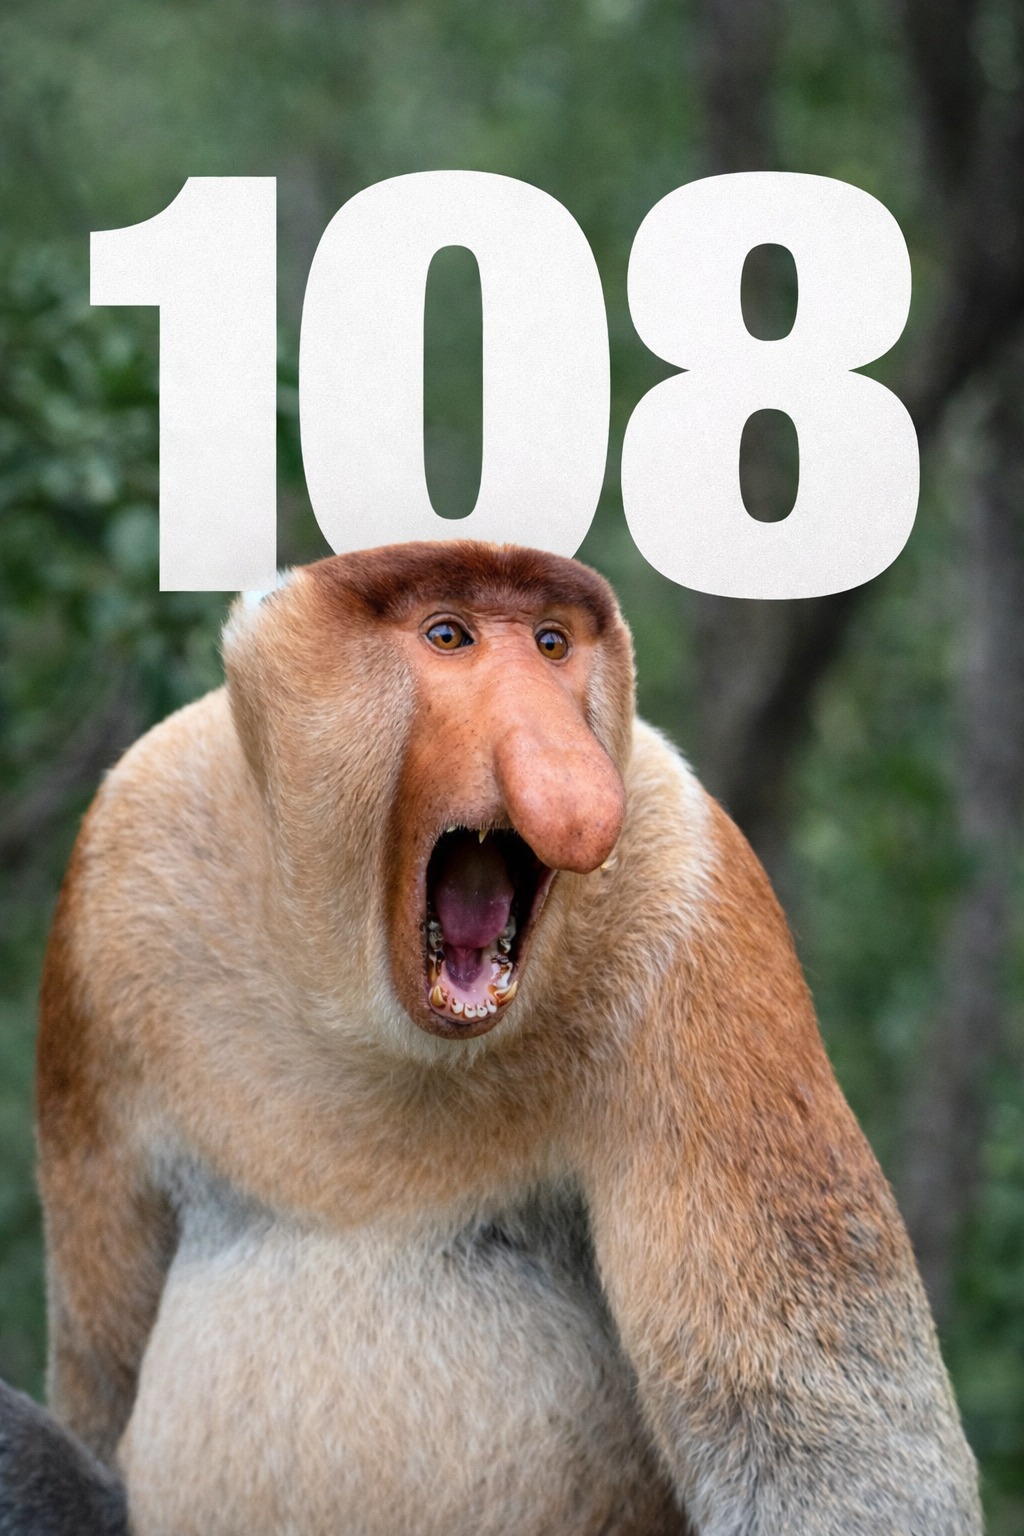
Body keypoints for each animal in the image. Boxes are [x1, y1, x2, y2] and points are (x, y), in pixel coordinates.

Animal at [3, 540, 979, 1535]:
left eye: (552, 643)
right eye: (449, 636)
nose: (567, 776)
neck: (371, 1016)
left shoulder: (690, 892)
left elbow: (827, 1454)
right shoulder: (122, 866)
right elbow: (100, 1384)